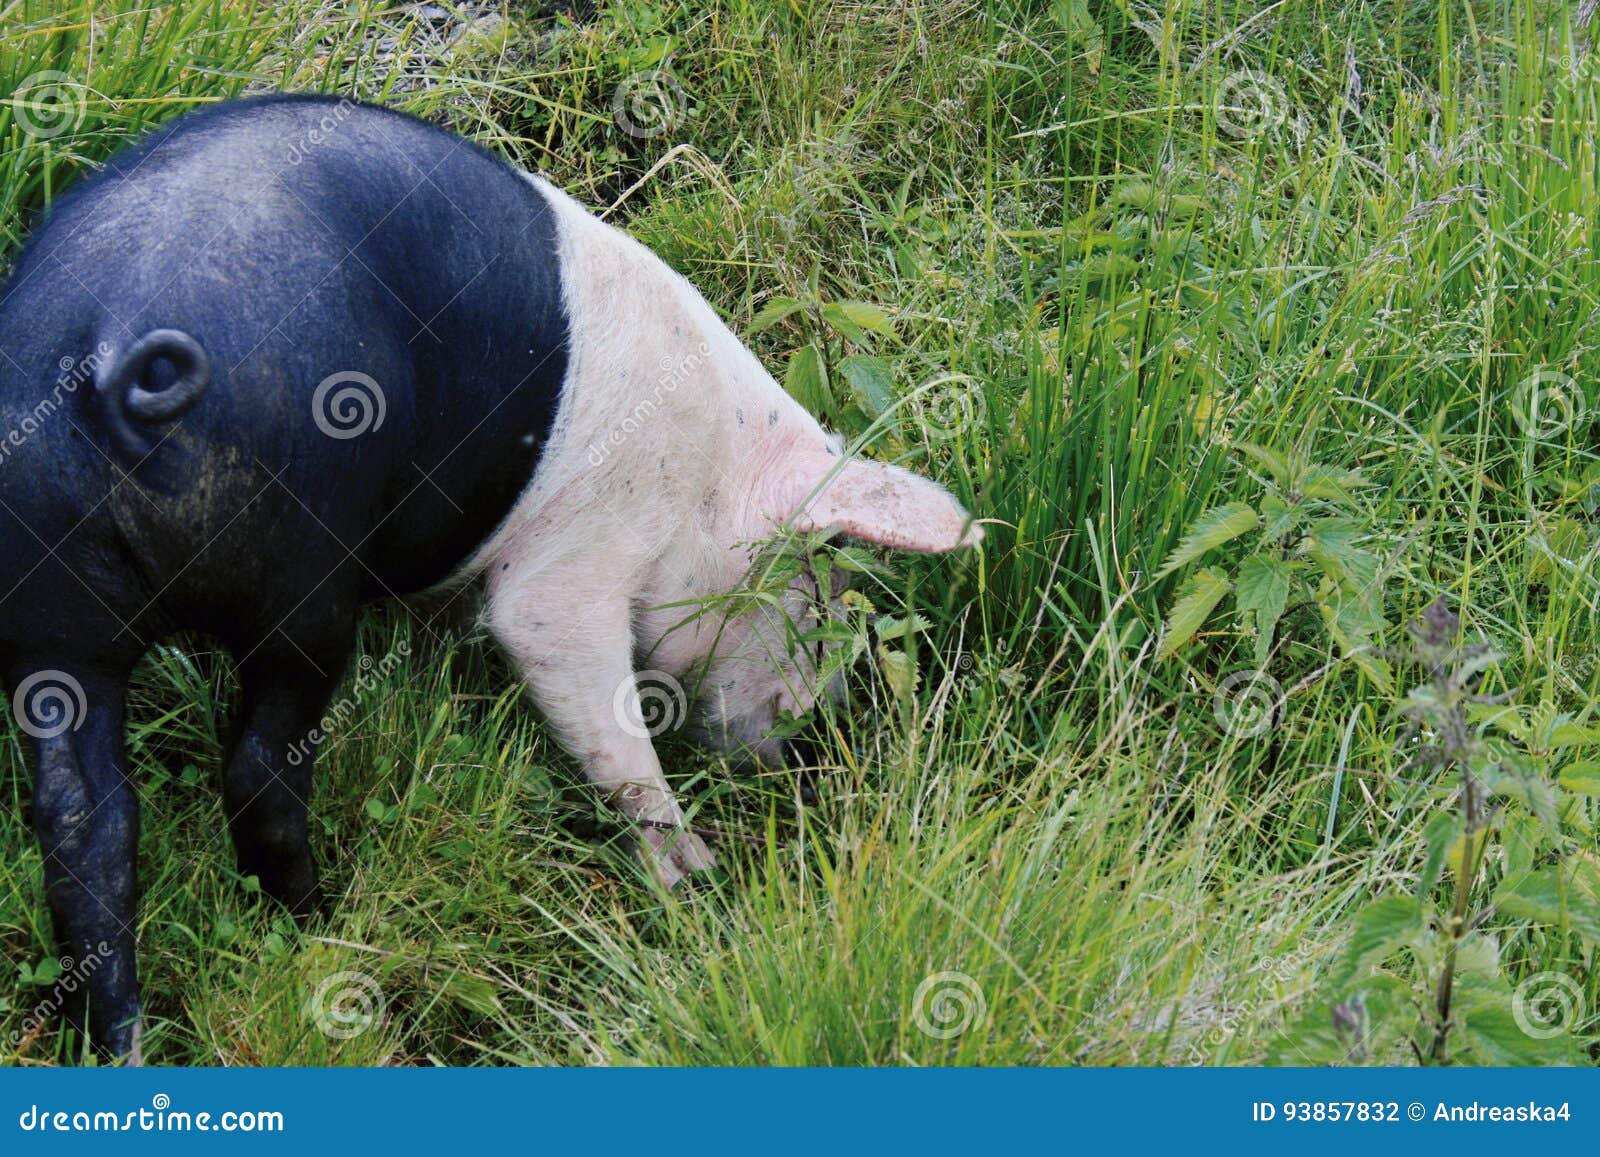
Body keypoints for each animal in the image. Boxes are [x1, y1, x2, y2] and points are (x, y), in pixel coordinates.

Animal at [0, 94, 980, 1062]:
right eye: (811, 597)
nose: (818, 739)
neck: (705, 468)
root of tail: (104, 354)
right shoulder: (575, 559)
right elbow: (581, 683)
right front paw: (696, 884)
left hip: (50, 604)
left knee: (87, 817)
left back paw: (123, 1038)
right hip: (299, 571)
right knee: (256, 768)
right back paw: (323, 919)